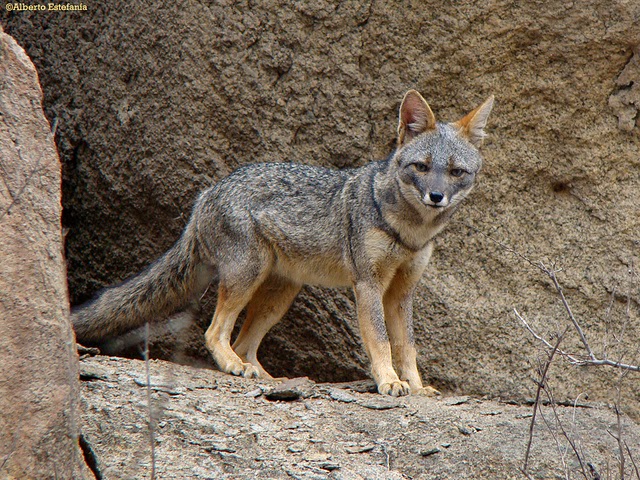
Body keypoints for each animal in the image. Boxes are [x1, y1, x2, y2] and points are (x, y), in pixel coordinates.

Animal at [72, 89, 494, 396]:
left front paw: (417, 387)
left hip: (278, 297)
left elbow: (407, 345)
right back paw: (233, 366)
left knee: (244, 342)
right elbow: (380, 340)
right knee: (215, 332)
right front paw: (389, 381)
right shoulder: (368, 284)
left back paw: (264, 376)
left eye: (456, 172)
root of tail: (208, 192)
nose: (436, 197)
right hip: (247, 276)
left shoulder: (402, 291)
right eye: (421, 167)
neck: (409, 232)